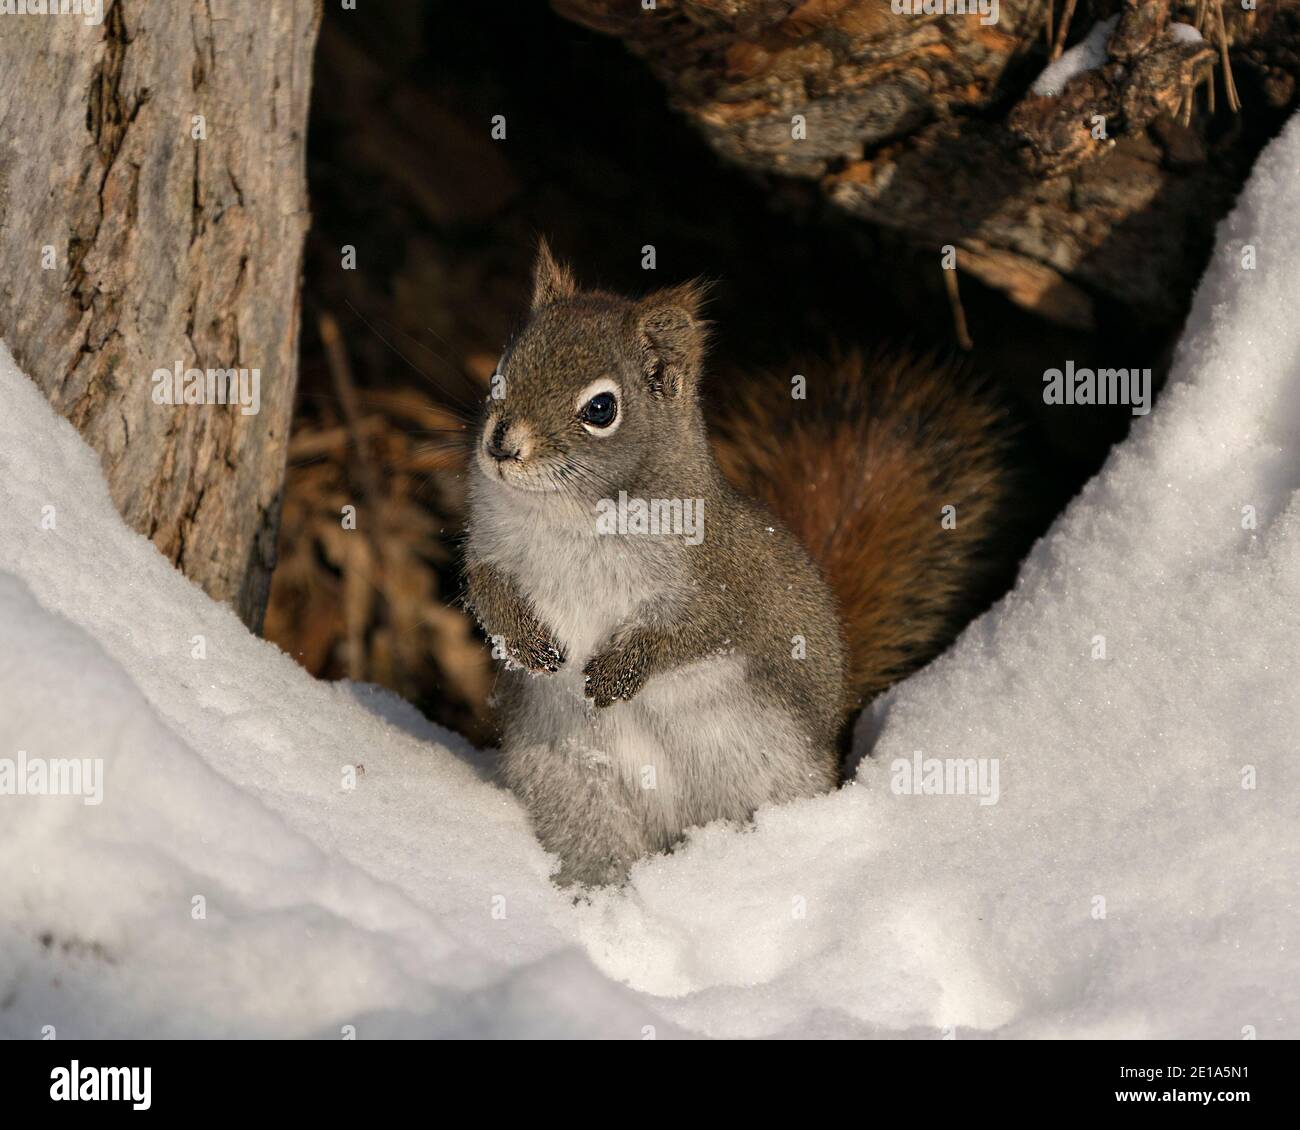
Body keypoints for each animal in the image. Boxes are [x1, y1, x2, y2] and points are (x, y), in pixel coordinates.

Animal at [464, 240, 1011, 888]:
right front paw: (529, 645)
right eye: (501, 368)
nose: (502, 445)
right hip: (575, 791)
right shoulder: (489, 546)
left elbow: (694, 635)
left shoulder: (721, 586)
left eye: (600, 408)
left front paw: (618, 673)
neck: (567, 515)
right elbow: (485, 591)